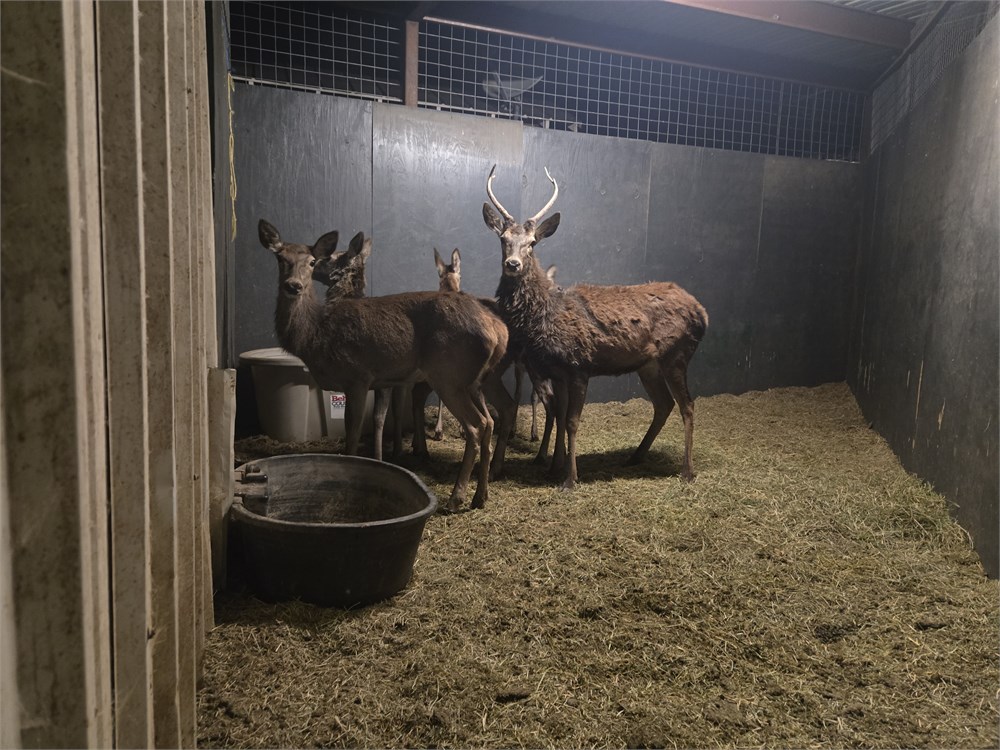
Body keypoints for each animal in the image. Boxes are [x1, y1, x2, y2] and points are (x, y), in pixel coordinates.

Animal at [259, 219, 507, 510]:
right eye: (280, 257)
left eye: (313, 261)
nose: (293, 286)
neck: (315, 335)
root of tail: (498, 330)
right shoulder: (377, 381)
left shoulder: (358, 376)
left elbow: (353, 432)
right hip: (473, 381)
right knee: (489, 421)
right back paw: (481, 496)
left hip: (448, 375)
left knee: (476, 425)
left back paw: (457, 497)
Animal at [482, 166, 709, 490]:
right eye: (503, 238)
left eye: (532, 243)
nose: (513, 264)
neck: (546, 316)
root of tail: (702, 312)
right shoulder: (557, 371)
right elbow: (560, 415)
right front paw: (554, 467)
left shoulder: (579, 366)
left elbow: (572, 421)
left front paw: (570, 478)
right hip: (648, 365)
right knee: (663, 403)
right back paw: (635, 456)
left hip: (676, 354)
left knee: (687, 405)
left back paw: (687, 471)